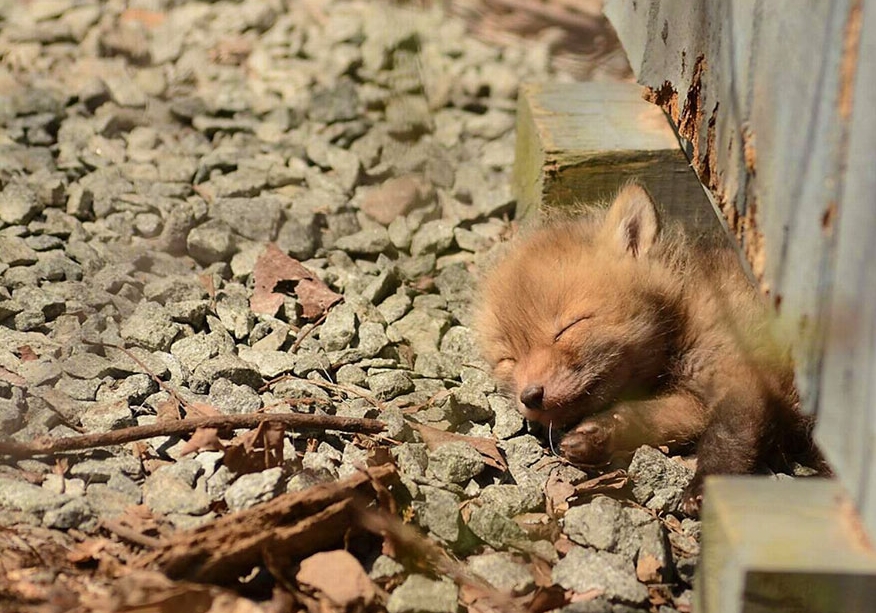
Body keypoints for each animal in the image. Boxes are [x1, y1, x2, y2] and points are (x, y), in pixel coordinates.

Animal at [475, 184, 828, 515]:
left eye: (569, 328)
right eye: (508, 360)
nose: (531, 396)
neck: (684, 315)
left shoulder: (744, 375)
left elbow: (726, 436)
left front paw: (704, 487)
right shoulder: (691, 403)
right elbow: (642, 416)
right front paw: (597, 436)